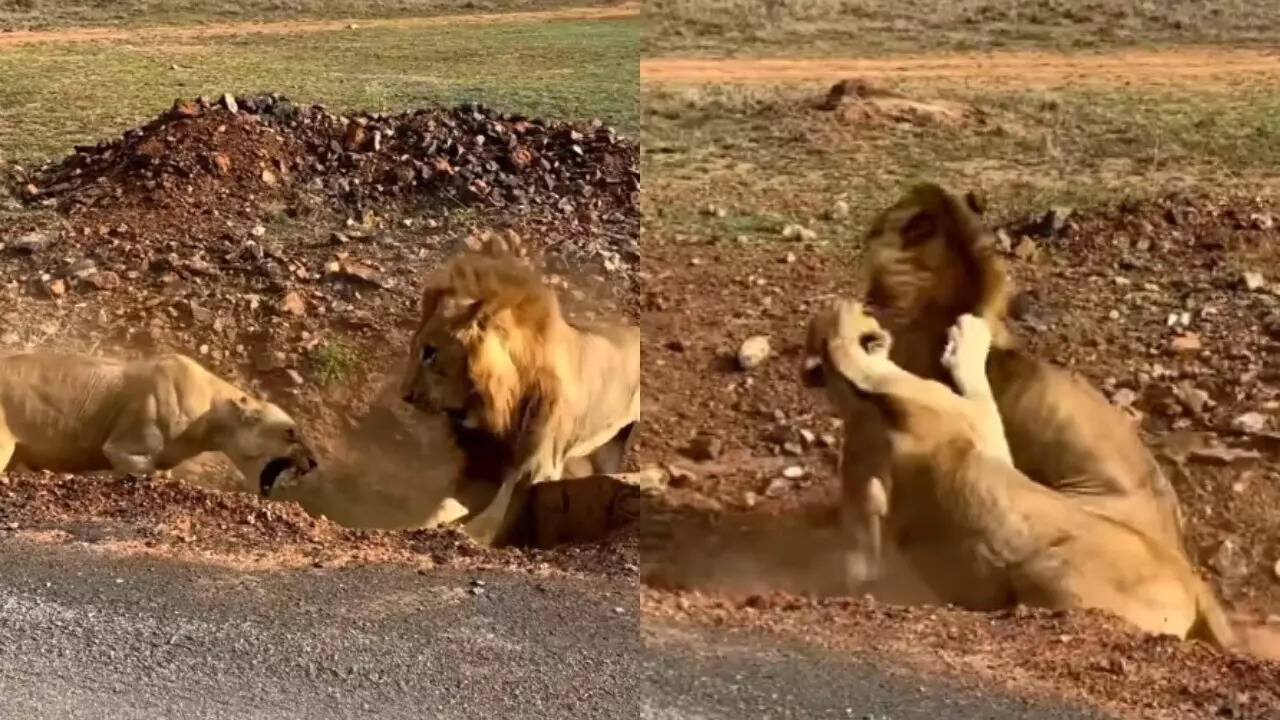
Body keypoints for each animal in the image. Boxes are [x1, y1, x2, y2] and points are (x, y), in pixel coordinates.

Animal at [400, 249, 640, 546]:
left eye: (430, 353)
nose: (405, 395)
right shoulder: (481, 467)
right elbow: (445, 506)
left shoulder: (538, 463)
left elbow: (499, 509)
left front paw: (470, 535)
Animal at [807, 300, 1235, 647]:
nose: (859, 304)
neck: (862, 400)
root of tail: (1193, 583)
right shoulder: (982, 429)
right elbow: (976, 384)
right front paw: (968, 336)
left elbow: (862, 553)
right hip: (1051, 569)